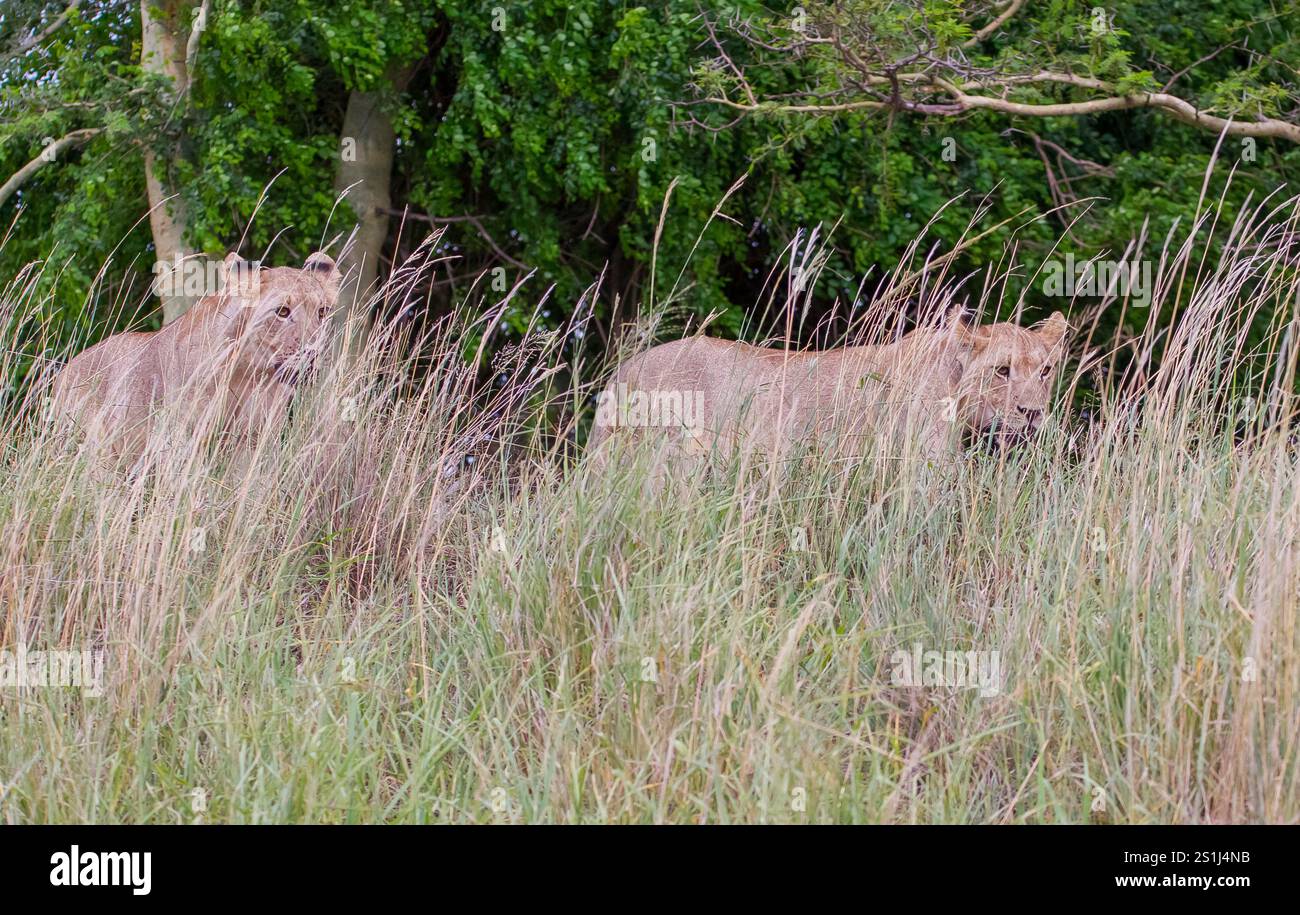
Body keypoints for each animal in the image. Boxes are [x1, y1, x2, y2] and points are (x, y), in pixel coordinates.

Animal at [50, 251, 340, 470]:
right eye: (282, 311)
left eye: (322, 312)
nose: (312, 354)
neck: (248, 374)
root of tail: (63, 372)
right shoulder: (179, 443)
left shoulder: (252, 442)